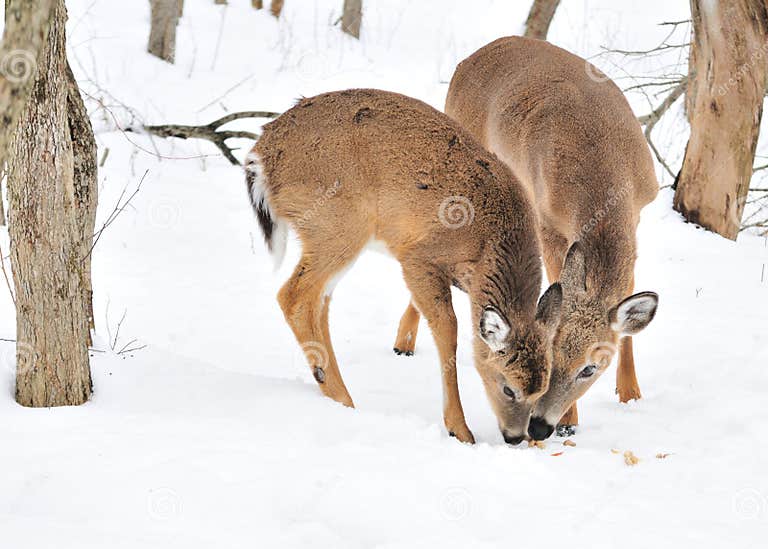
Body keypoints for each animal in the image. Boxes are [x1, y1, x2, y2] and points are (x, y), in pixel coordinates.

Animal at [246, 88, 564, 445]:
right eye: (508, 388)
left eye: (542, 390)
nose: (515, 437)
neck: (489, 244)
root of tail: (260, 155)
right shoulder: (417, 257)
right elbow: (449, 329)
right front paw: (460, 429)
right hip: (337, 223)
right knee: (295, 296)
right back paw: (344, 399)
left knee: (319, 302)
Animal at [393, 37, 659, 440]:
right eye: (552, 355)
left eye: (591, 367)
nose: (539, 426)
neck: (606, 181)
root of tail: (472, 56)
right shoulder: (547, 220)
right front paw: (570, 420)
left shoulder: (638, 213)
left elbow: (626, 295)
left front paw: (630, 391)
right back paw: (403, 342)